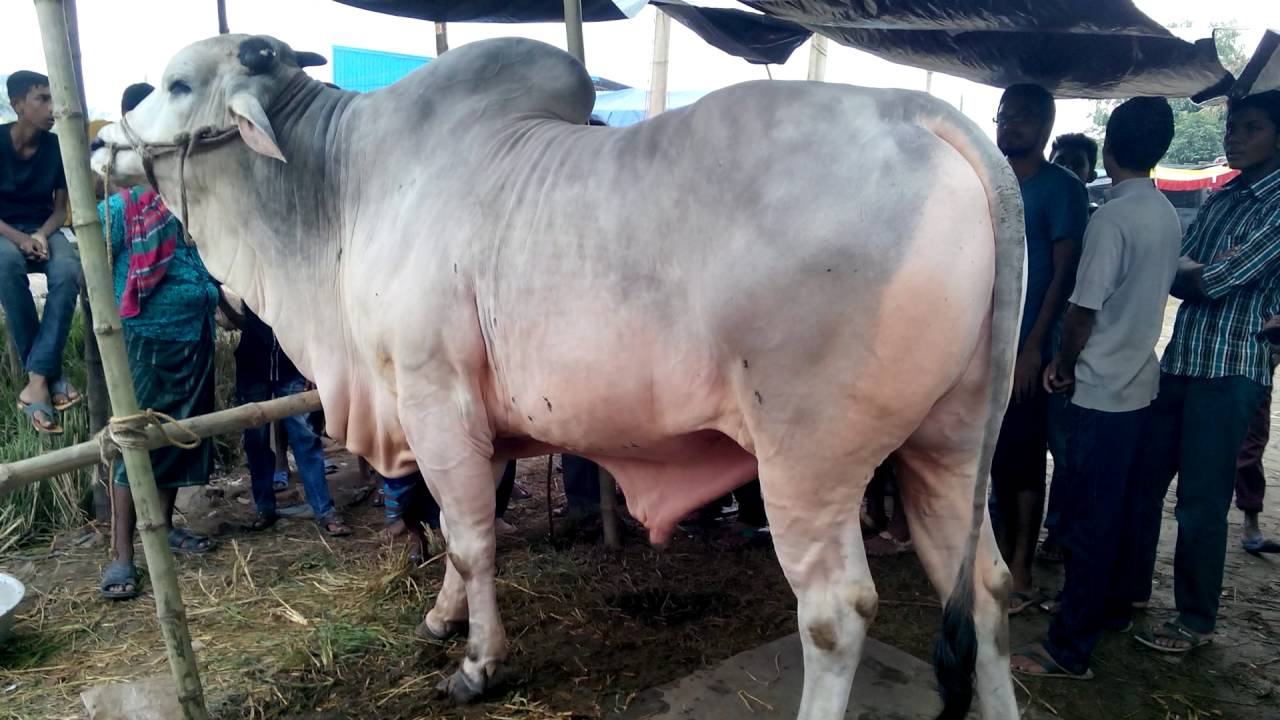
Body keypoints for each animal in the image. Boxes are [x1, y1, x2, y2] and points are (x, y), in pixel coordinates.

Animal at [91, 34, 1025, 720]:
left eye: (176, 83)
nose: (101, 140)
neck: (343, 190)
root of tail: (924, 113)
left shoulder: (432, 397)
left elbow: (471, 537)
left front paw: (478, 664)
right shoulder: (468, 419)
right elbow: (458, 537)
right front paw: (441, 619)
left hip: (808, 462)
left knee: (835, 615)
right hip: (950, 442)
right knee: (983, 592)